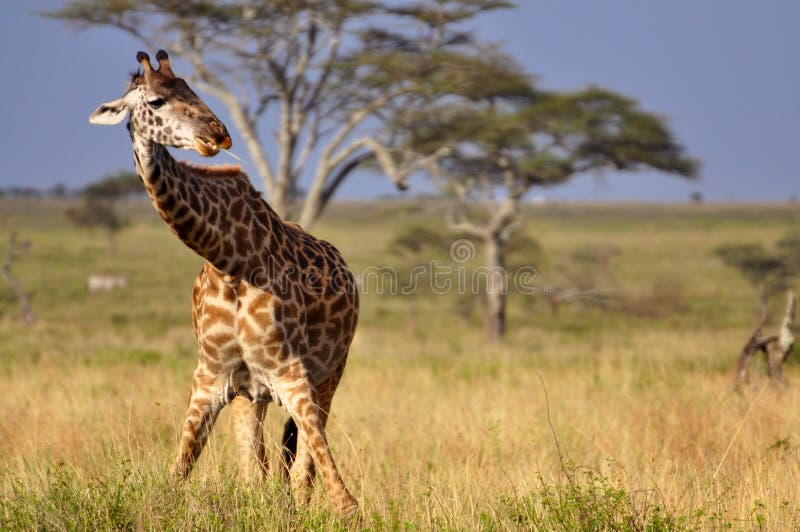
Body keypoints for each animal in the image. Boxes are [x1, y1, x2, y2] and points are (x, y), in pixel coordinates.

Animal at [89, 50, 360, 517]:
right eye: (156, 101)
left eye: (193, 89)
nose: (218, 134)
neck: (228, 258)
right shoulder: (212, 377)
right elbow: (180, 470)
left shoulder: (292, 373)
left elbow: (332, 482)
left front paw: (346, 512)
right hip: (252, 395)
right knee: (260, 470)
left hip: (330, 374)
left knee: (302, 467)